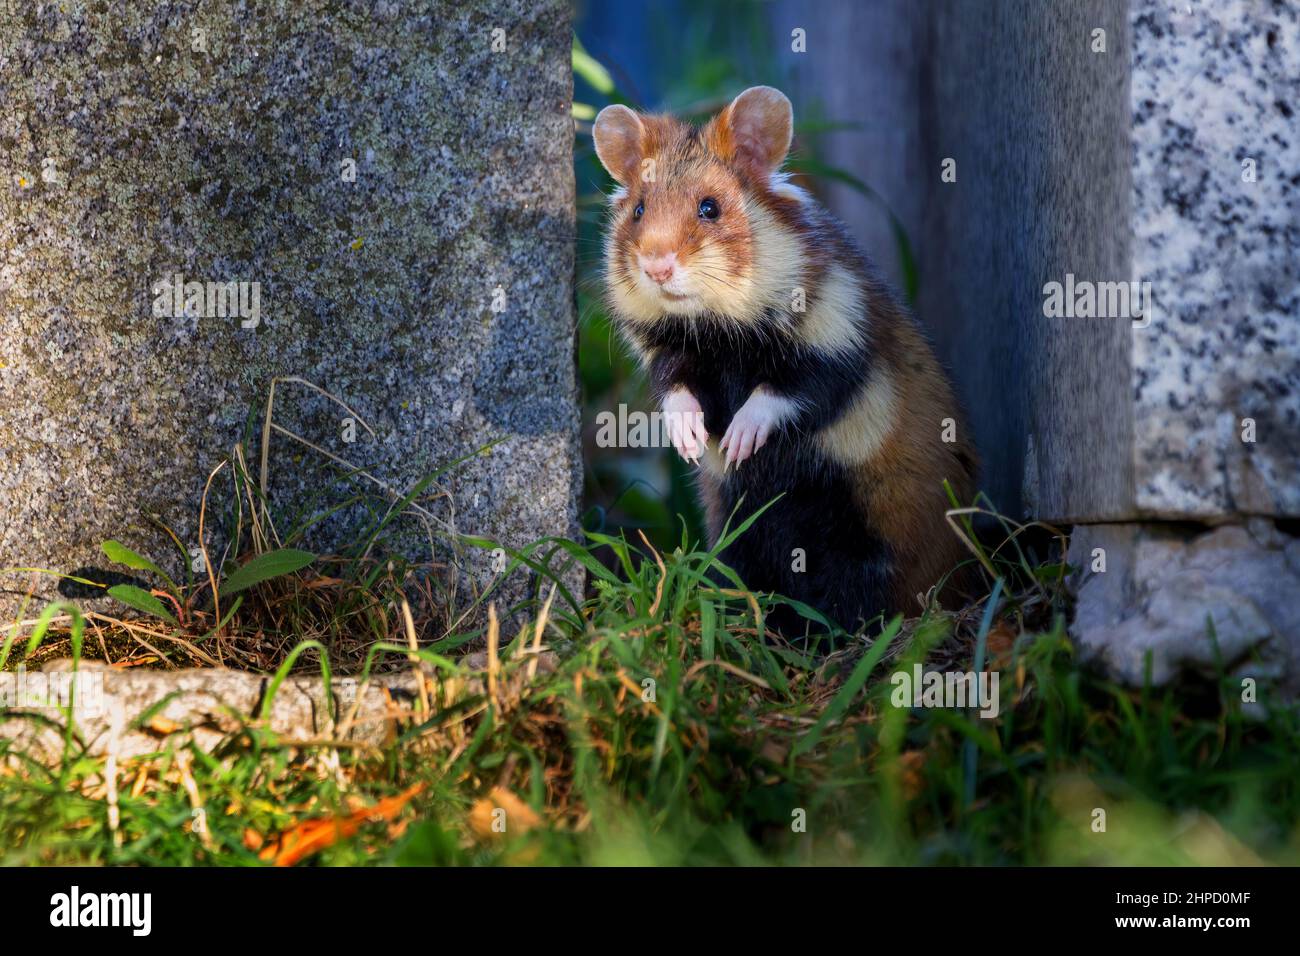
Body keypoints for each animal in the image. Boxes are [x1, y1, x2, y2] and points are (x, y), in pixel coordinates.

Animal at [592, 86, 979, 633]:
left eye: (710, 208)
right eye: (639, 211)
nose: (657, 267)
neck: (718, 328)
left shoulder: (837, 340)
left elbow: (785, 392)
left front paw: (738, 443)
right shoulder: (670, 353)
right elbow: (676, 390)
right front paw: (692, 444)